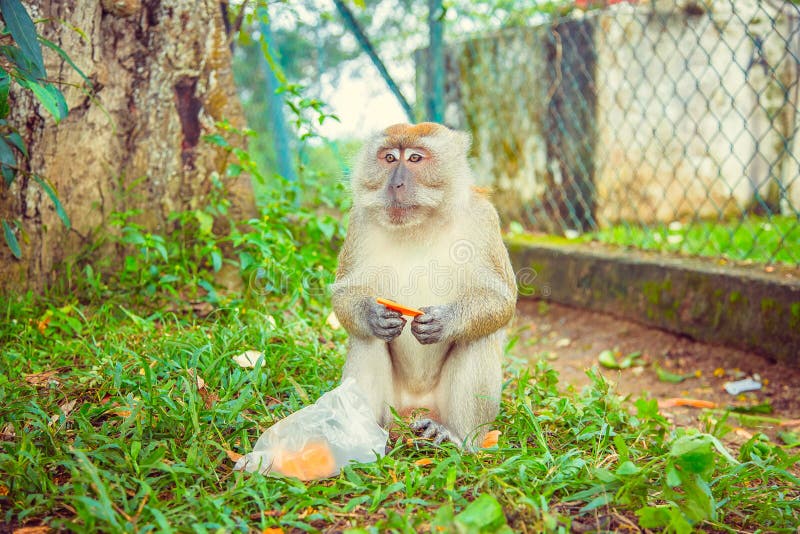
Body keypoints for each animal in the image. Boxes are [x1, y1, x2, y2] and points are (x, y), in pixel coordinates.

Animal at [331, 122, 517, 450]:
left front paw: (446, 321)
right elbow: (346, 292)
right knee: (367, 339)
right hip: (391, 407)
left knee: (477, 339)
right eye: (389, 158)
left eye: (415, 158)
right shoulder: (359, 221)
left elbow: (501, 299)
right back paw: (365, 438)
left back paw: (456, 436)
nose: (396, 184)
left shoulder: (483, 219)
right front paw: (372, 315)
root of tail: (414, 407)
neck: (421, 223)